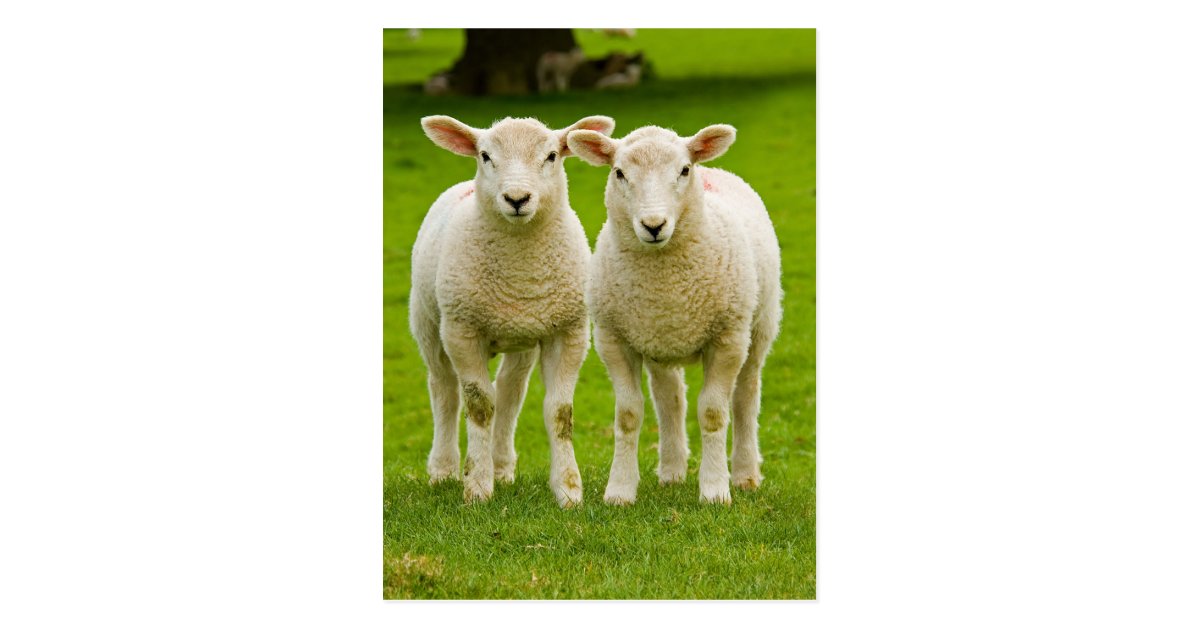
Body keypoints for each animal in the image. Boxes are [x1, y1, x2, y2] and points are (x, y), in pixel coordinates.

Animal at [413, 114, 616, 507]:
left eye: (552, 155)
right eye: (485, 155)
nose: (517, 199)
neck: (521, 271)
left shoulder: (569, 331)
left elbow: (559, 412)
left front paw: (568, 490)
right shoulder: (462, 331)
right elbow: (478, 407)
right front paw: (477, 488)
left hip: (521, 335)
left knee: (509, 391)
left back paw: (502, 467)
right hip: (428, 323)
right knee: (444, 391)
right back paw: (443, 470)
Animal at [566, 124, 782, 505]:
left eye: (683, 170)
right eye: (619, 172)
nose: (654, 225)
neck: (665, 283)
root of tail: (715, 169)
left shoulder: (727, 339)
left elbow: (713, 413)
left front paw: (714, 490)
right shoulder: (613, 339)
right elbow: (628, 415)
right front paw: (620, 490)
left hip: (758, 327)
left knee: (745, 398)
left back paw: (745, 473)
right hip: (659, 340)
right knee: (670, 400)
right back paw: (671, 471)